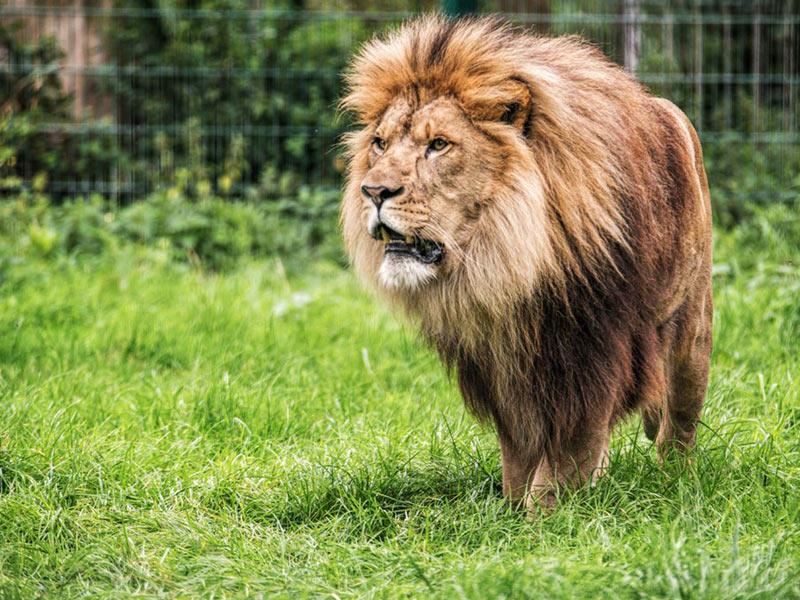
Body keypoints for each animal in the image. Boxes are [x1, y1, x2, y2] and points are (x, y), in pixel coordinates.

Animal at [340, 15, 712, 511]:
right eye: (380, 143)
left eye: (438, 144)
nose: (374, 191)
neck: (506, 264)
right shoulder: (501, 364)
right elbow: (517, 456)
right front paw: (512, 511)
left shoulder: (590, 353)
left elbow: (567, 454)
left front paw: (546, 516)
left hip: (691, 328)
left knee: (679, 425)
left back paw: (676, 484)